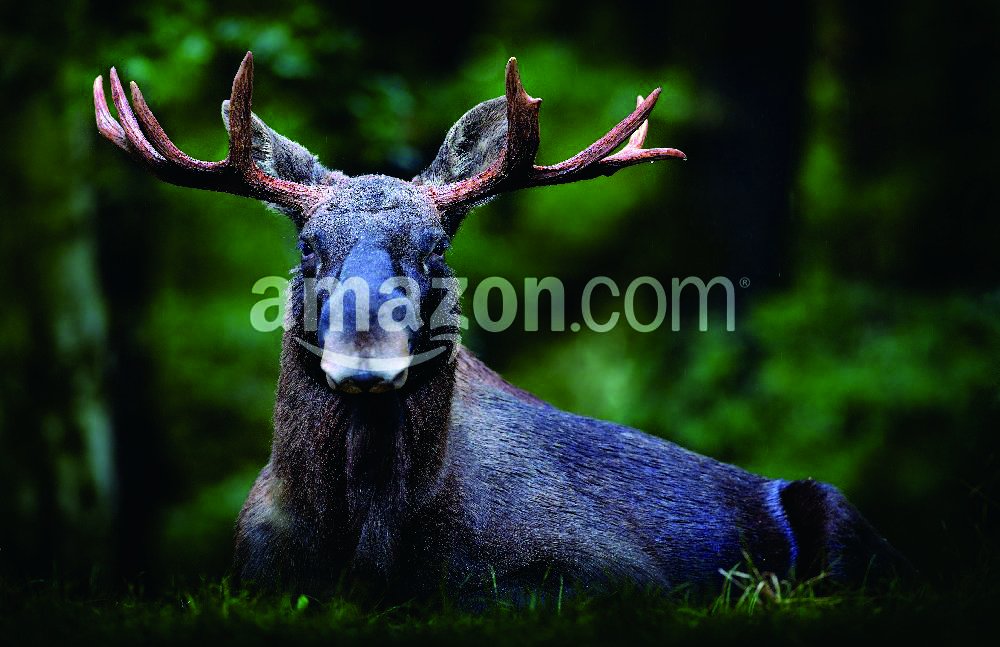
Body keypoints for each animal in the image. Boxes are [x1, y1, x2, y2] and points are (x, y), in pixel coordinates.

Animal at [93, 52, 908, 601]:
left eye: (437, 247)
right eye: (307, 246)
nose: (365, 361)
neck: (369, 539)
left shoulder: (620, 572)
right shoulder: (252, 570)